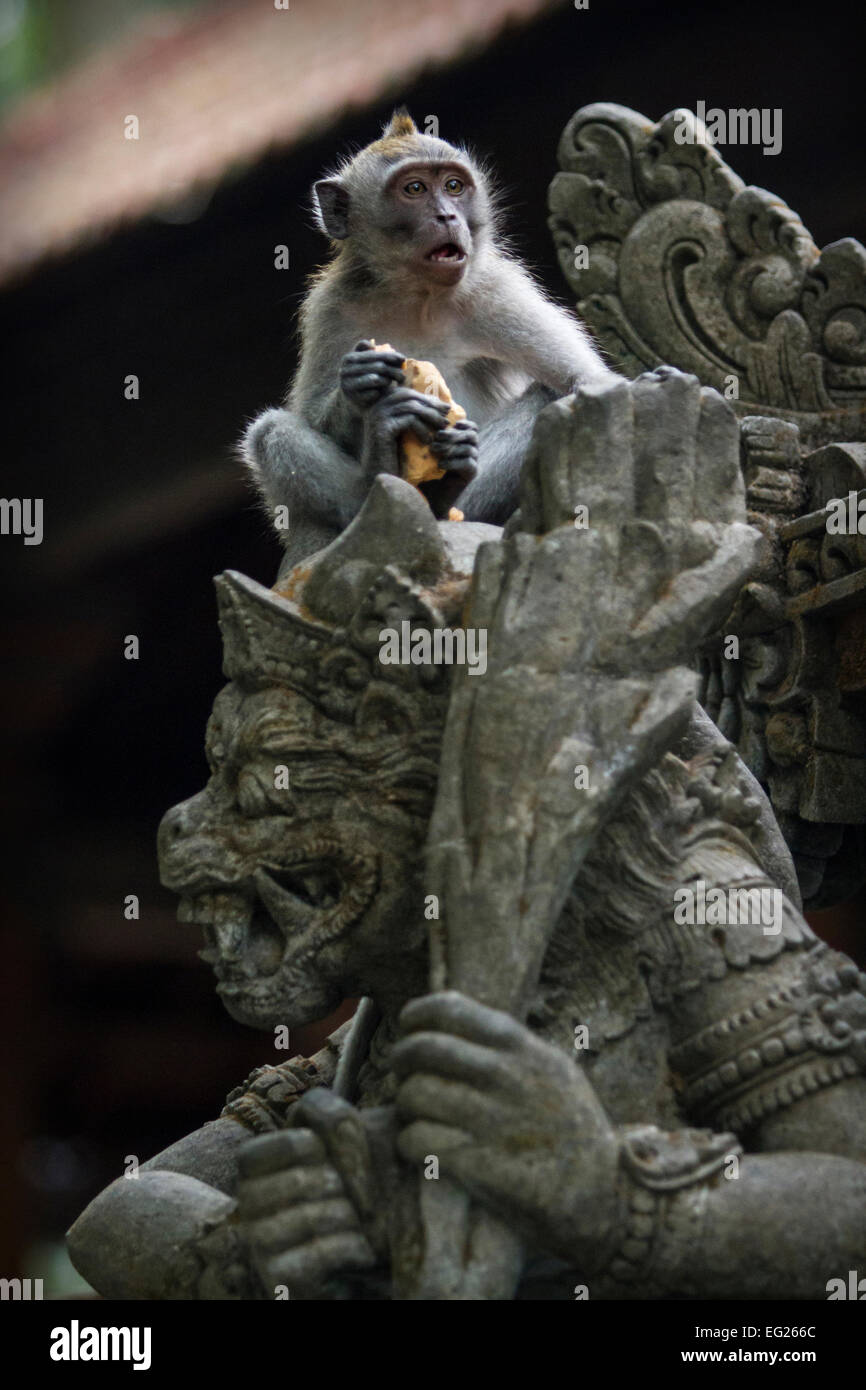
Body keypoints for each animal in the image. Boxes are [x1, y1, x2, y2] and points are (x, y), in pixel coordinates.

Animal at [242, 110, 620, 565]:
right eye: (415, 189)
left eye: (453, 187)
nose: (447, 217)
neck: (417, 295)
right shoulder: (332, 306)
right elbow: (312, 416)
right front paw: (358, 383)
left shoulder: (494, 290)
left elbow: (587, 382)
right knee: (271, 432)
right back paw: (376, 476)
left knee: (548, 397)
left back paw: (444, 491)